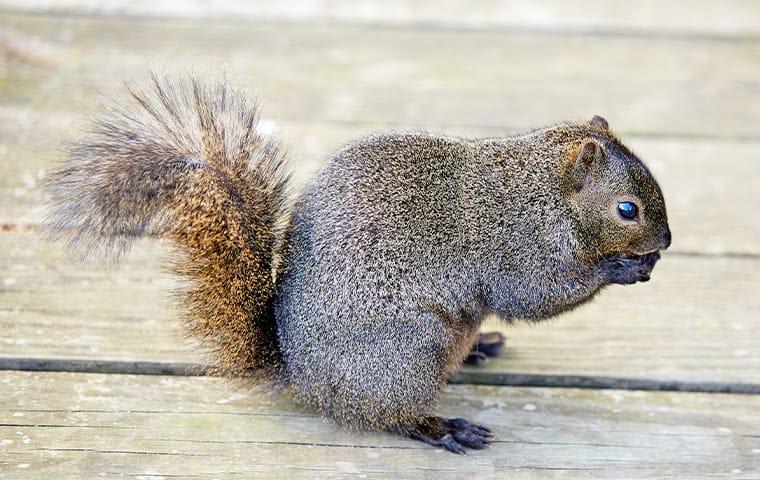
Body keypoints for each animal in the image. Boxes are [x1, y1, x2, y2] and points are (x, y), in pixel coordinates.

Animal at [45, 74, 671, 454]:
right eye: (627, 208)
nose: (665, 241)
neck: (543, 191)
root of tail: (303, 376)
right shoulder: (521, 248)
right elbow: (537, 295)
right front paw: (623, 268)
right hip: (408, 353)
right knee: (393, 416)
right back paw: (443, 426)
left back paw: (478, 349)